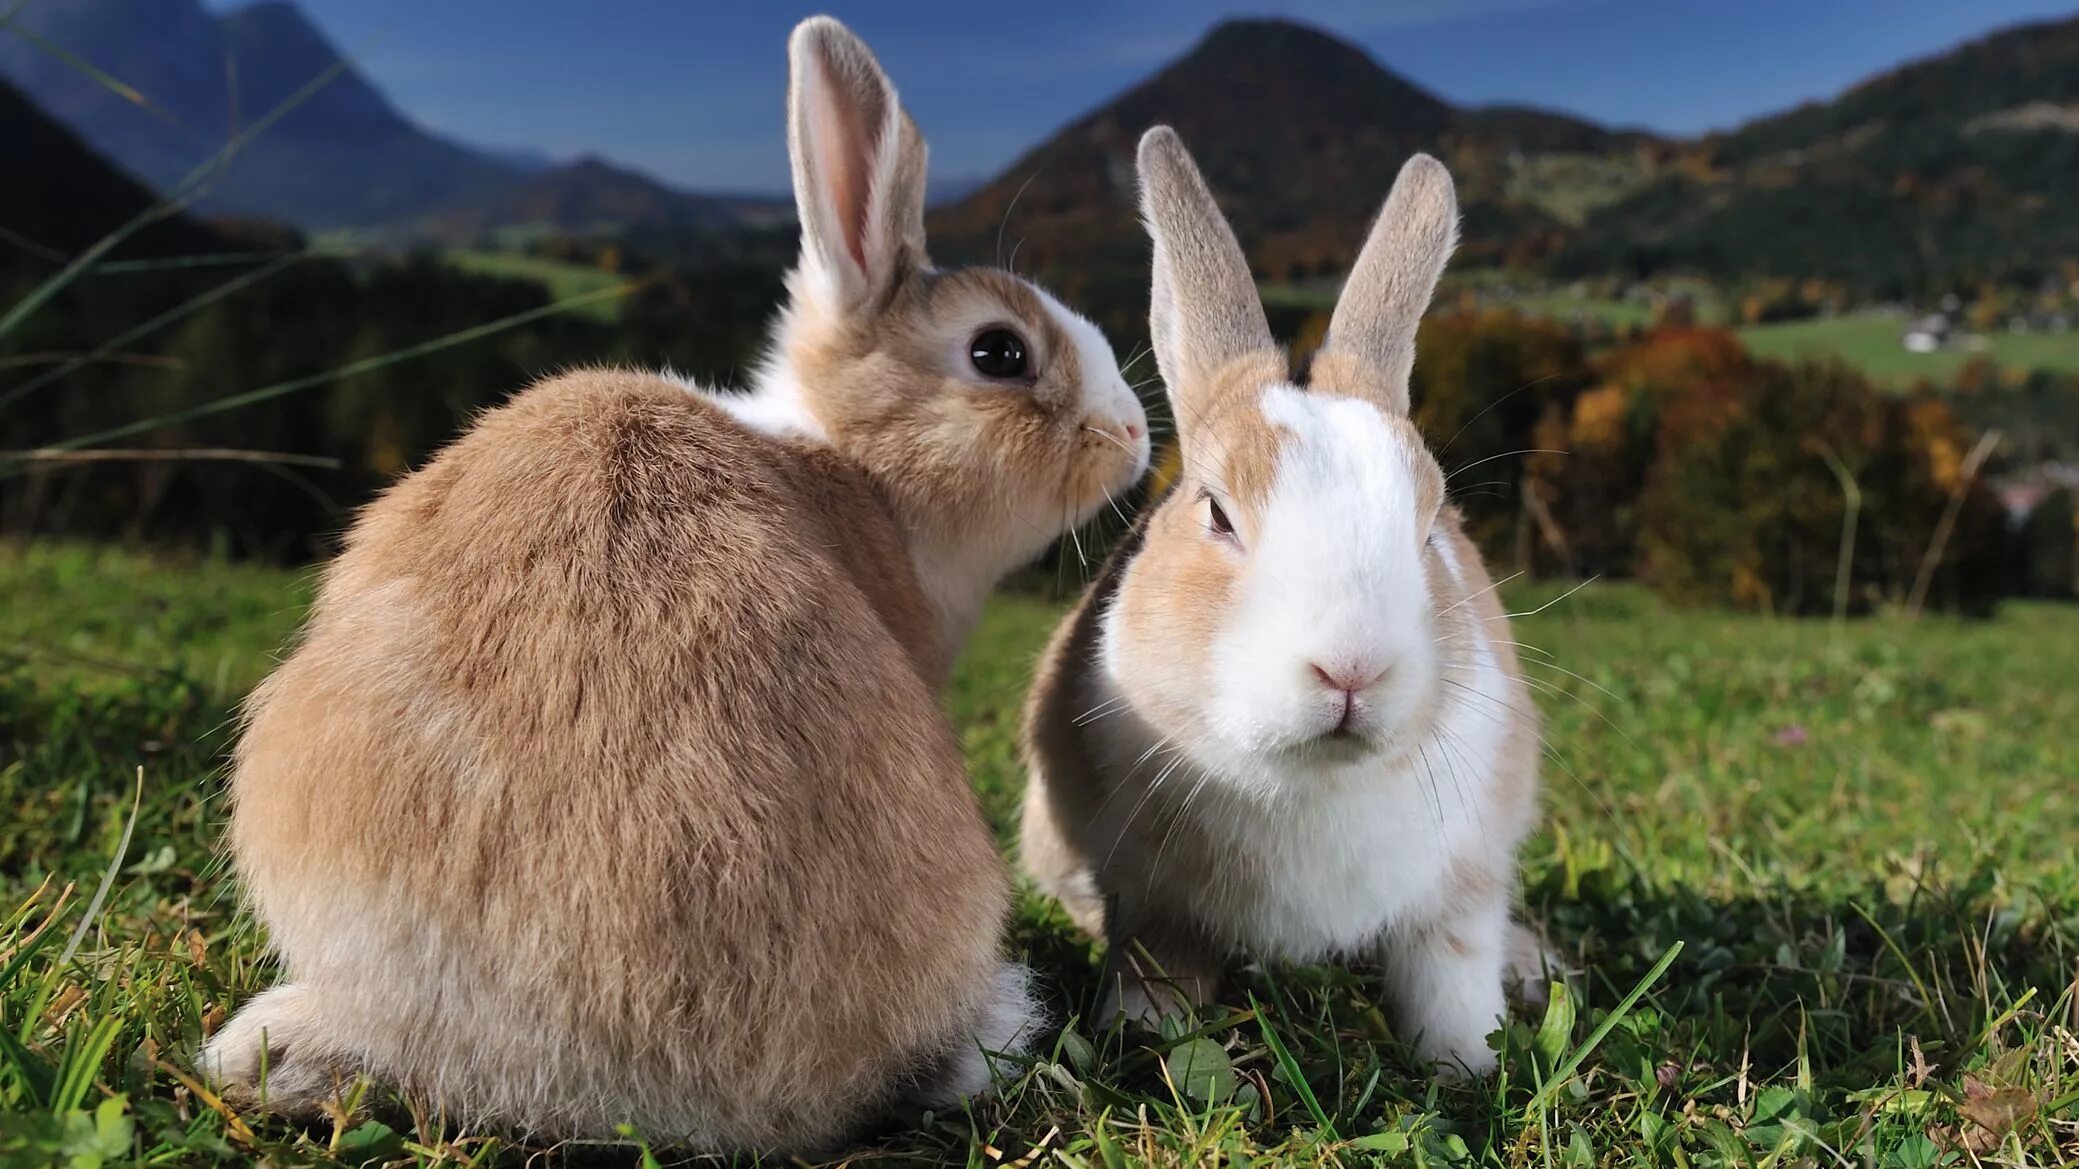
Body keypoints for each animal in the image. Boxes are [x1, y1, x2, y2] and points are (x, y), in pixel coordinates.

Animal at [1018, 126, 1546, 1077]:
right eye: (1217, 514)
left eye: (1431, 526)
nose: (1352, 668)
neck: (1313, 778)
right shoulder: (1149, 906)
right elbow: (1156, 973)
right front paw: (1148, 1043)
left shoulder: (1460, 891)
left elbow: (1448, 976)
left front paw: (1467, 1066)